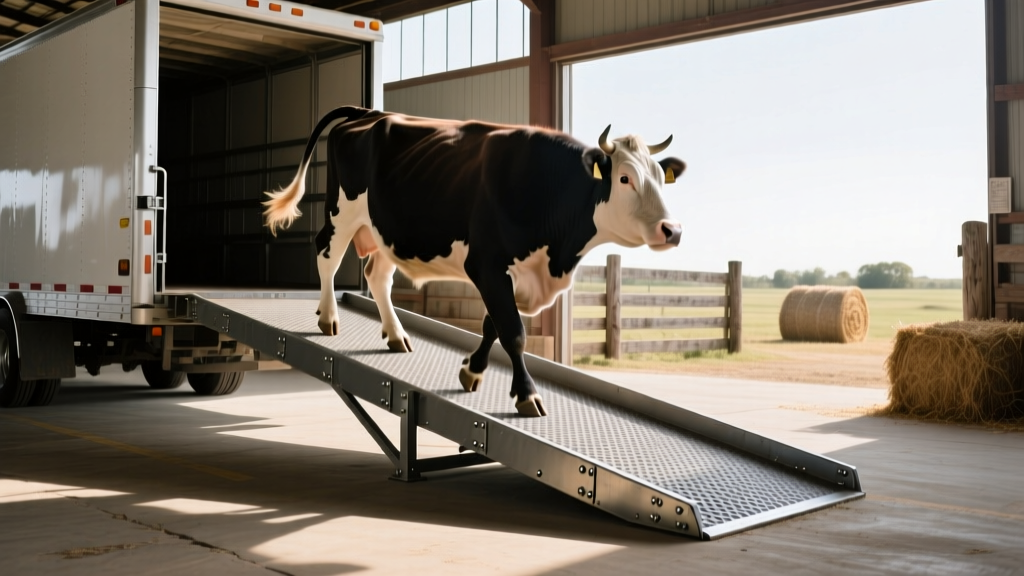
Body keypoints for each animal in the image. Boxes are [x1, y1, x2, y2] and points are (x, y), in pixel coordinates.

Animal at [263, 106, 685, 417]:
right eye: (625, 179)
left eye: (661, 179)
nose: (673, 229)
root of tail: (369, 112)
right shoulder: (487, 265)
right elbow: (513, 331)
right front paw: (526, 395)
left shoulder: (517, 274)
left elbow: (492, 325)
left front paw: (472, 370)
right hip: (344, 210)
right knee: (327, 254)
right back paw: (328, 317)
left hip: (386, 230)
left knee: (377, 276)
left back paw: (397, 335)